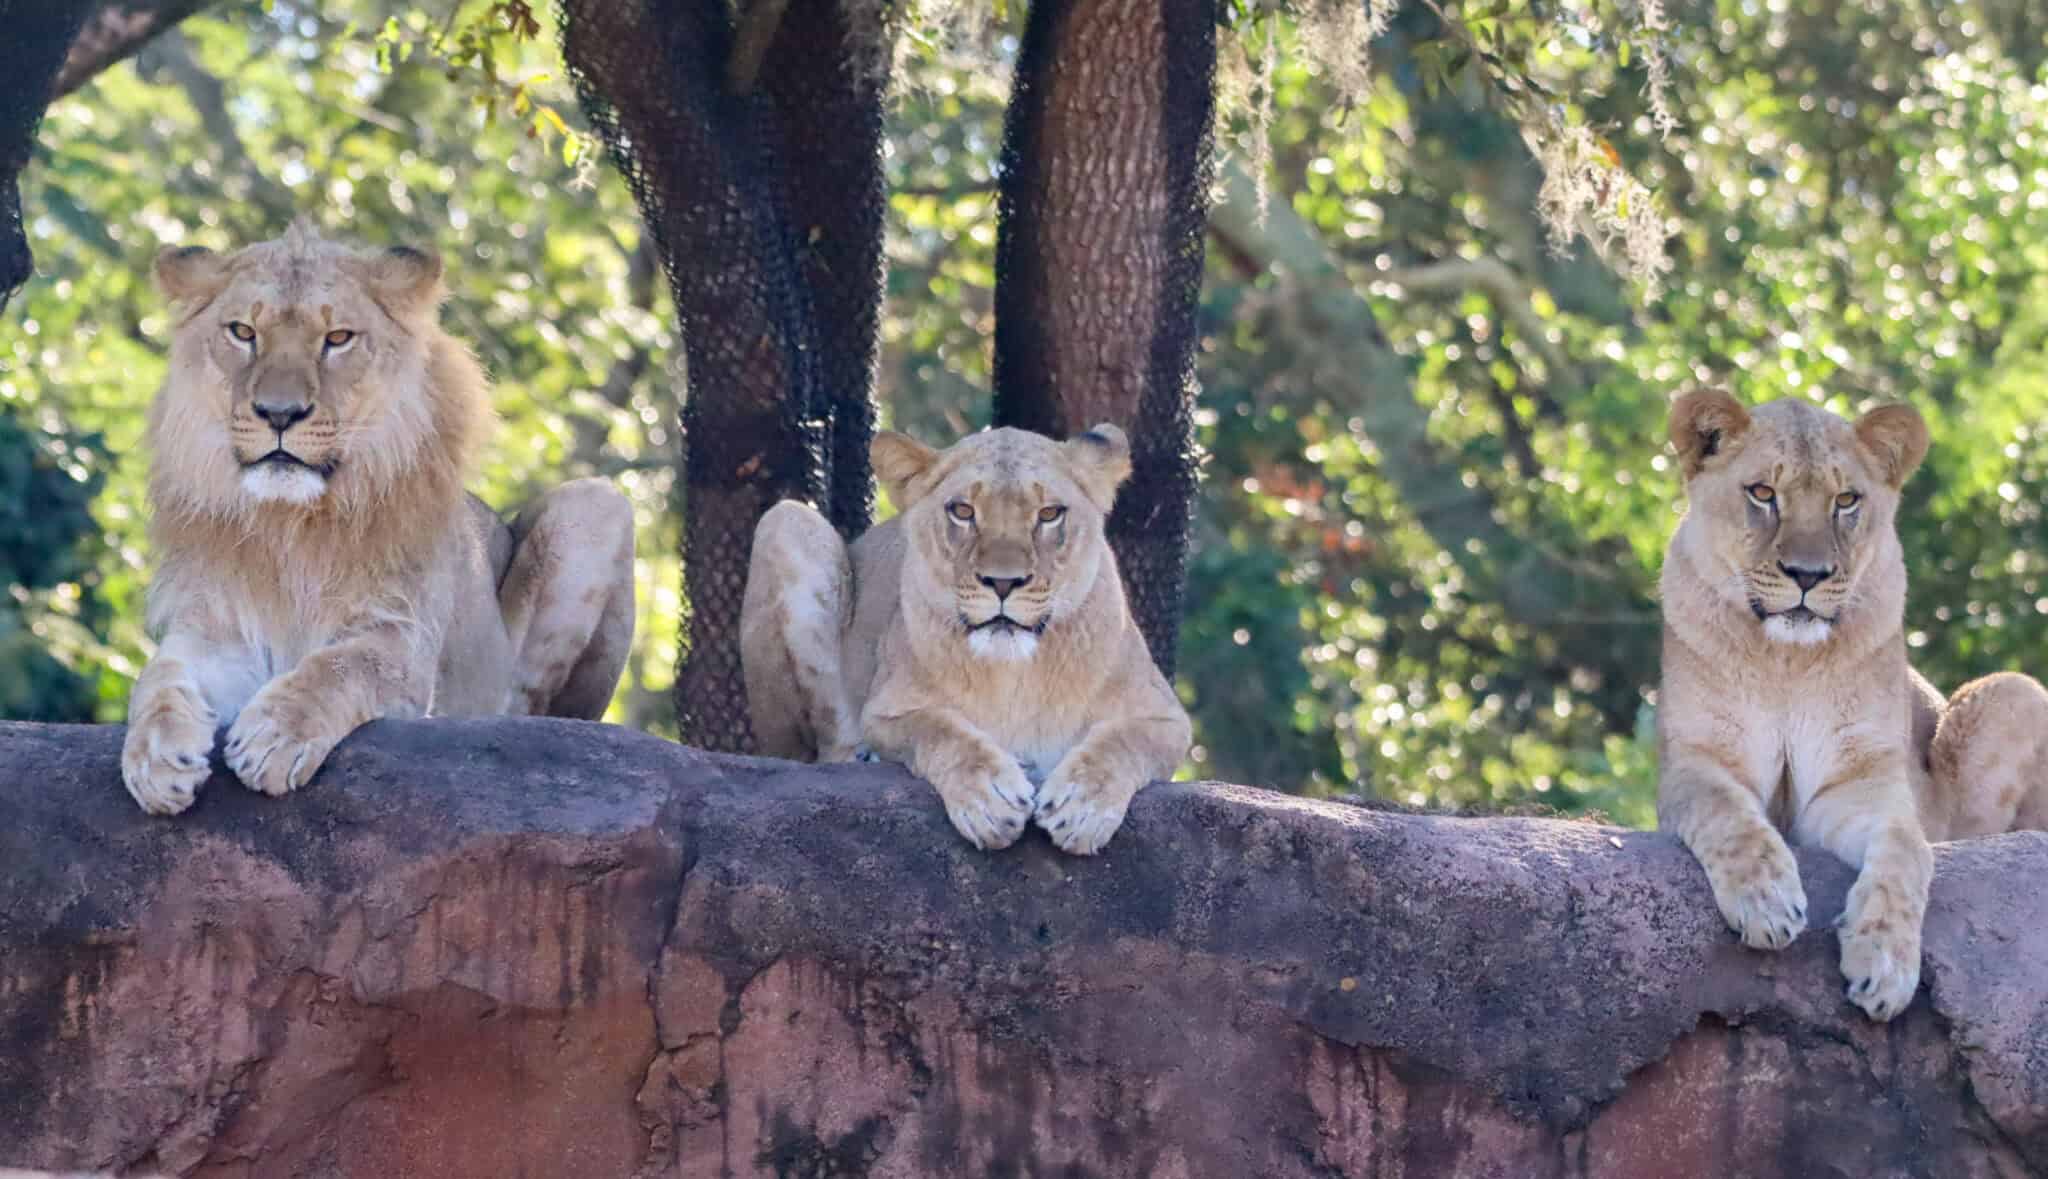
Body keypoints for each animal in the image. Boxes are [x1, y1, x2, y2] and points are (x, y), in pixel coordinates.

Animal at [121, 220, 636, 816]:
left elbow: (340, 666)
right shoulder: (215, 633)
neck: (292, 526)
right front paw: (156, 757)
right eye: (243, 332)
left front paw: (275, 737)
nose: (279, 414)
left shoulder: (401, 636)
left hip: (594, 504)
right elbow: (158, 677)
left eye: (338, 337)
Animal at [740, 424, 1190, 854]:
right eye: (962, 511)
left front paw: (1081, 807)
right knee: (822, 750)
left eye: (1049, 514)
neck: (1014, 672)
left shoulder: (1168, 718)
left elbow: (1124, 741)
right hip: (786, 521)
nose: (1003, 582)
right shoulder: (886, 711)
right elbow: (940, 730)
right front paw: (989, 797)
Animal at [1657, 388, 2048, 1022]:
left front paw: (1884, 965)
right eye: (1762, 493)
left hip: (2016, 692)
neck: (1785, 662)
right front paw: (1766, 902)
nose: (1807, 575)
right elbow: (1727, 814)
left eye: (1846, 501)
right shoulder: (1696, 761)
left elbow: (1905, 853)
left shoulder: (1859, 785)